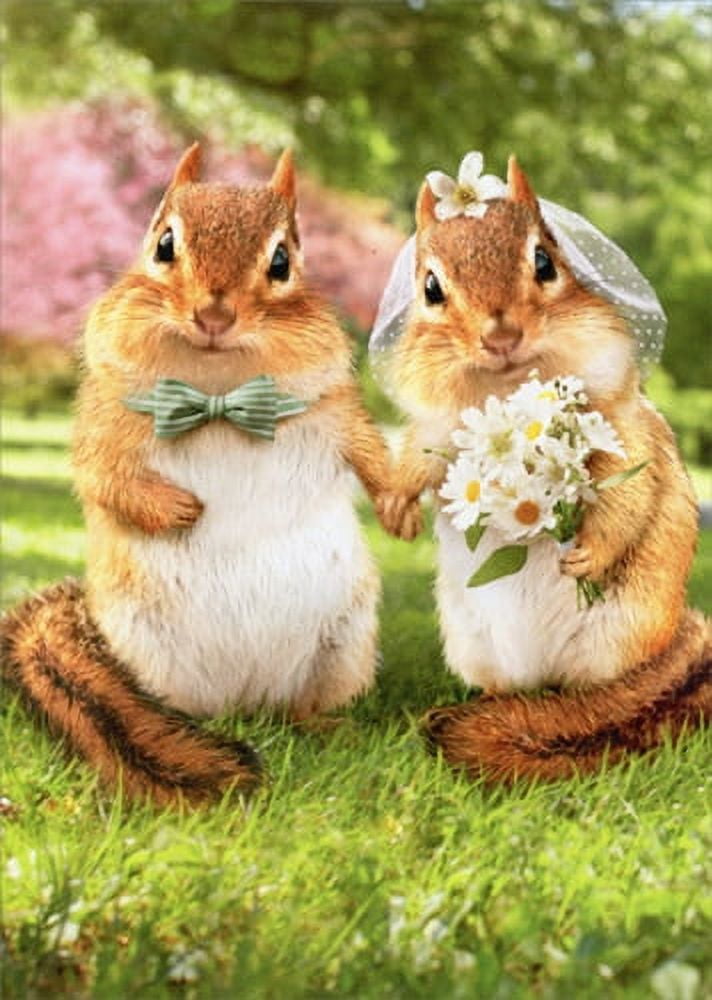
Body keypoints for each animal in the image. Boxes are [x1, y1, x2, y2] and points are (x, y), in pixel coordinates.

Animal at [1, 144, 398, 806]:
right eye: (163, 244)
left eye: (283, 261)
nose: (214, 313)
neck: (218, 391)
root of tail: (244, 700)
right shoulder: (105, 420)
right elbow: (101, 478)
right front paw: (177, 509)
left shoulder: (335, 410)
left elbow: (370, 450)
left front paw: (399, 508)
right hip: (147, 657)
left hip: (344, 646)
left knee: (301, 708)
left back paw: (326, 725)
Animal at [379, 155, 710, 782]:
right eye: (429, 287)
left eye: (544, 261)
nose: (501, 335)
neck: (508, 395)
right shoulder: (441, 435)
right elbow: (415, 460)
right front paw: (394, 509)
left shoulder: (620, 429)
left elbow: (629, 494)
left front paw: (588, 555)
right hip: (476, 644)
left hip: (617, 640)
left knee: (592, 691)